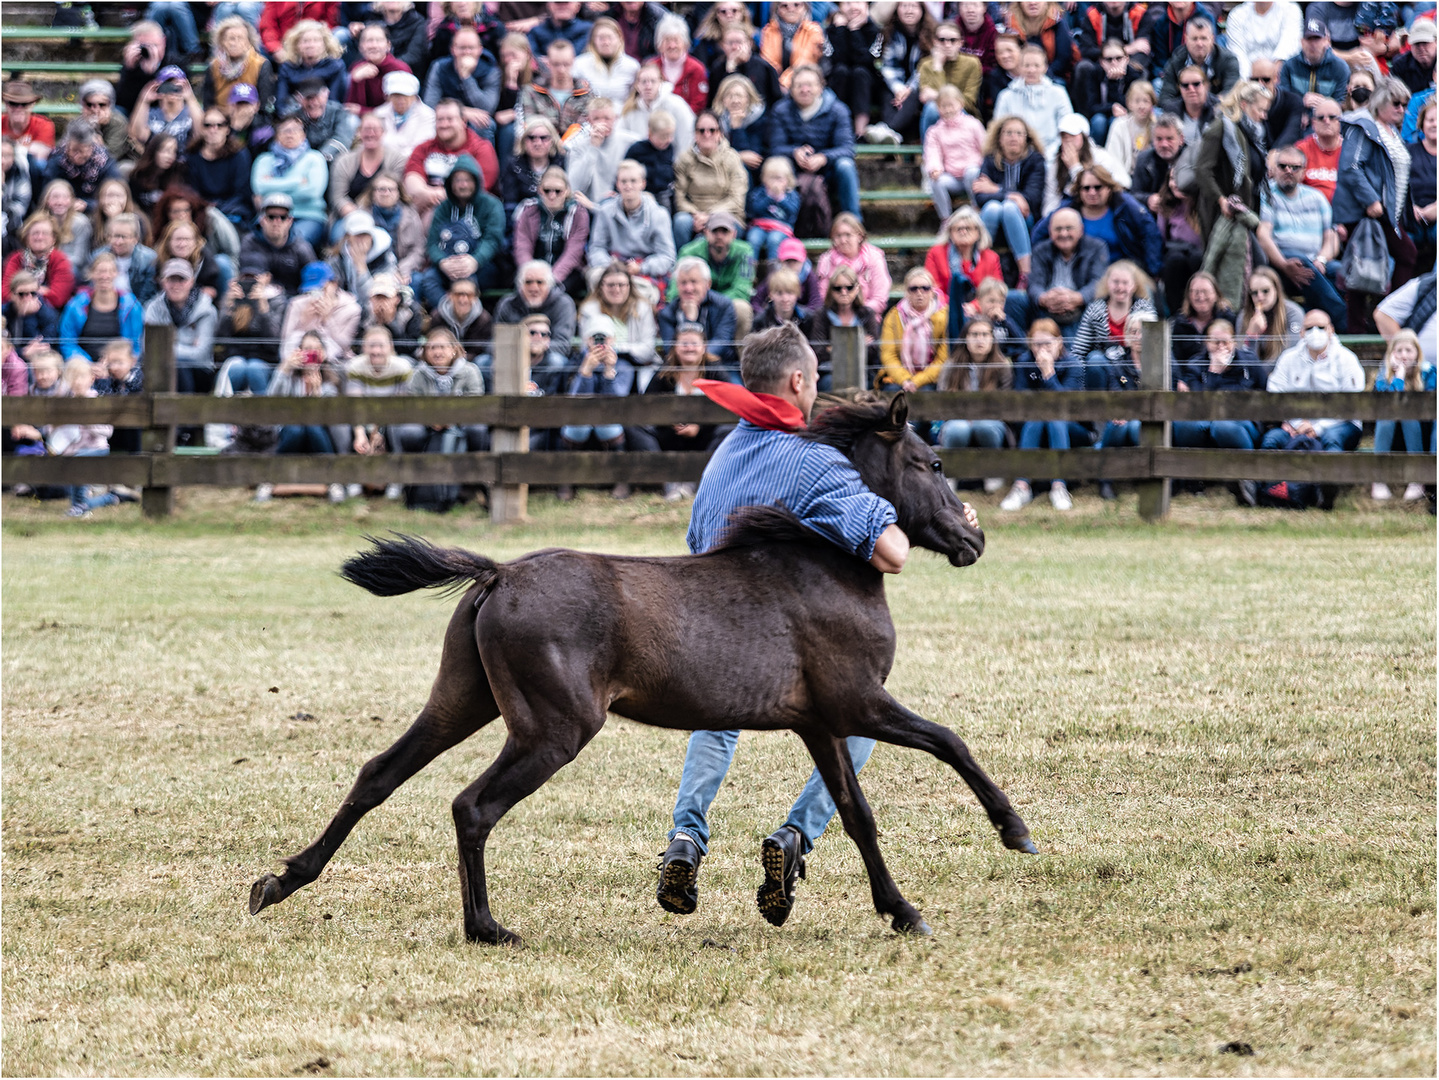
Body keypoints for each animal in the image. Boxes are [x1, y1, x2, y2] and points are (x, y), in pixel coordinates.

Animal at [249, 394, 1037, 944]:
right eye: (933, 463)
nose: (973, 539)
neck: (824, 563)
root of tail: (498, 574)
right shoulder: (858, 703)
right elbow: (950, 741)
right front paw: (1014, 831)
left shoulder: (818, 722)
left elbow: (856, 813)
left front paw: (897, 910)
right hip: (552, 729)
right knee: (472, 806)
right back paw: (487, 928)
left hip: (462, 701)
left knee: (377, 774)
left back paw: (279, 883)